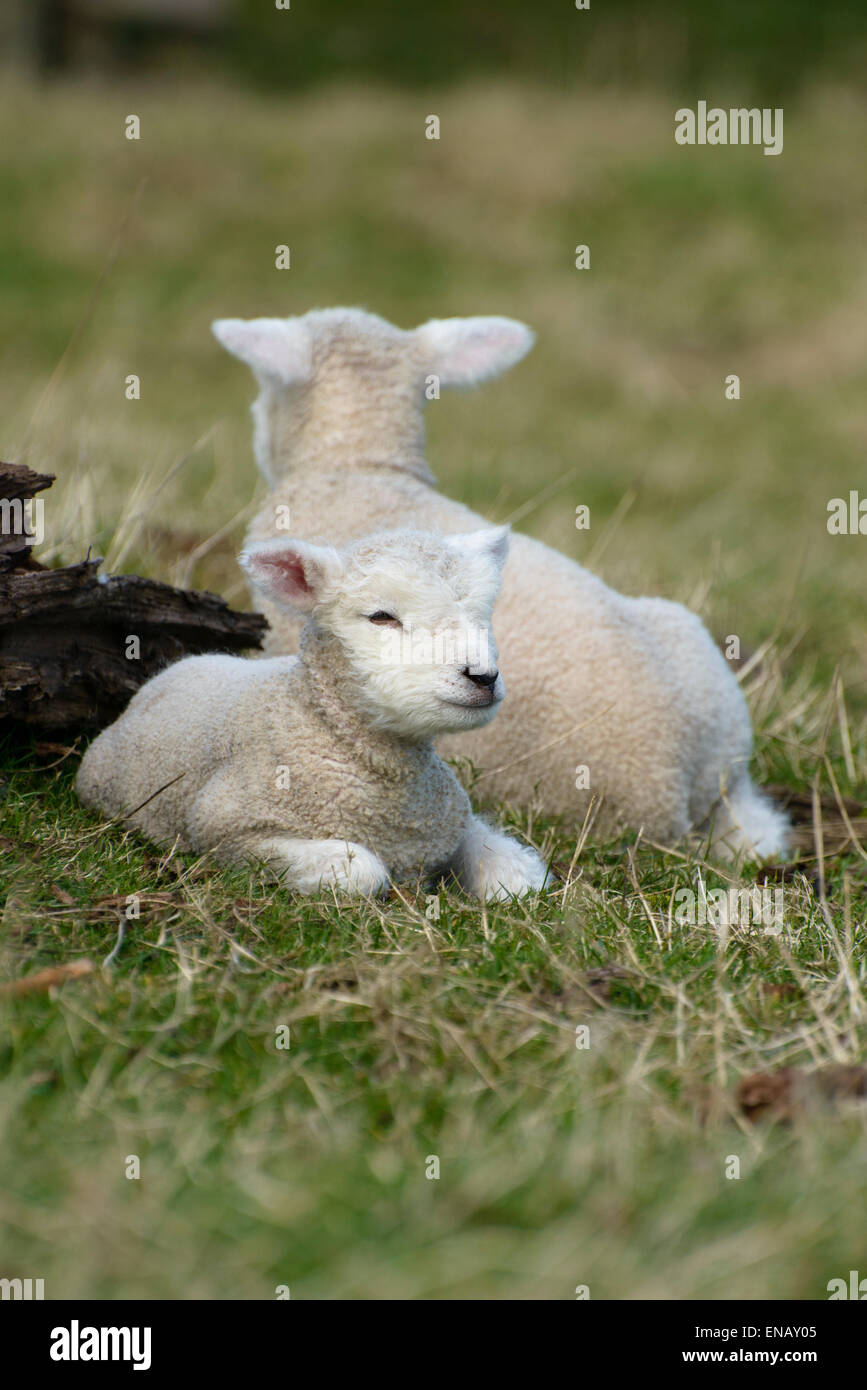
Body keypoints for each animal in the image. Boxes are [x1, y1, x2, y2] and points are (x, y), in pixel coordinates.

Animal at [75, 526, 550, 900]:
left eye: (482, 613)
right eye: (381, 617)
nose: (483, 677)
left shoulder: (456, 823)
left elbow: (520, 876)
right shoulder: (230, 830)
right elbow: (362, 871)